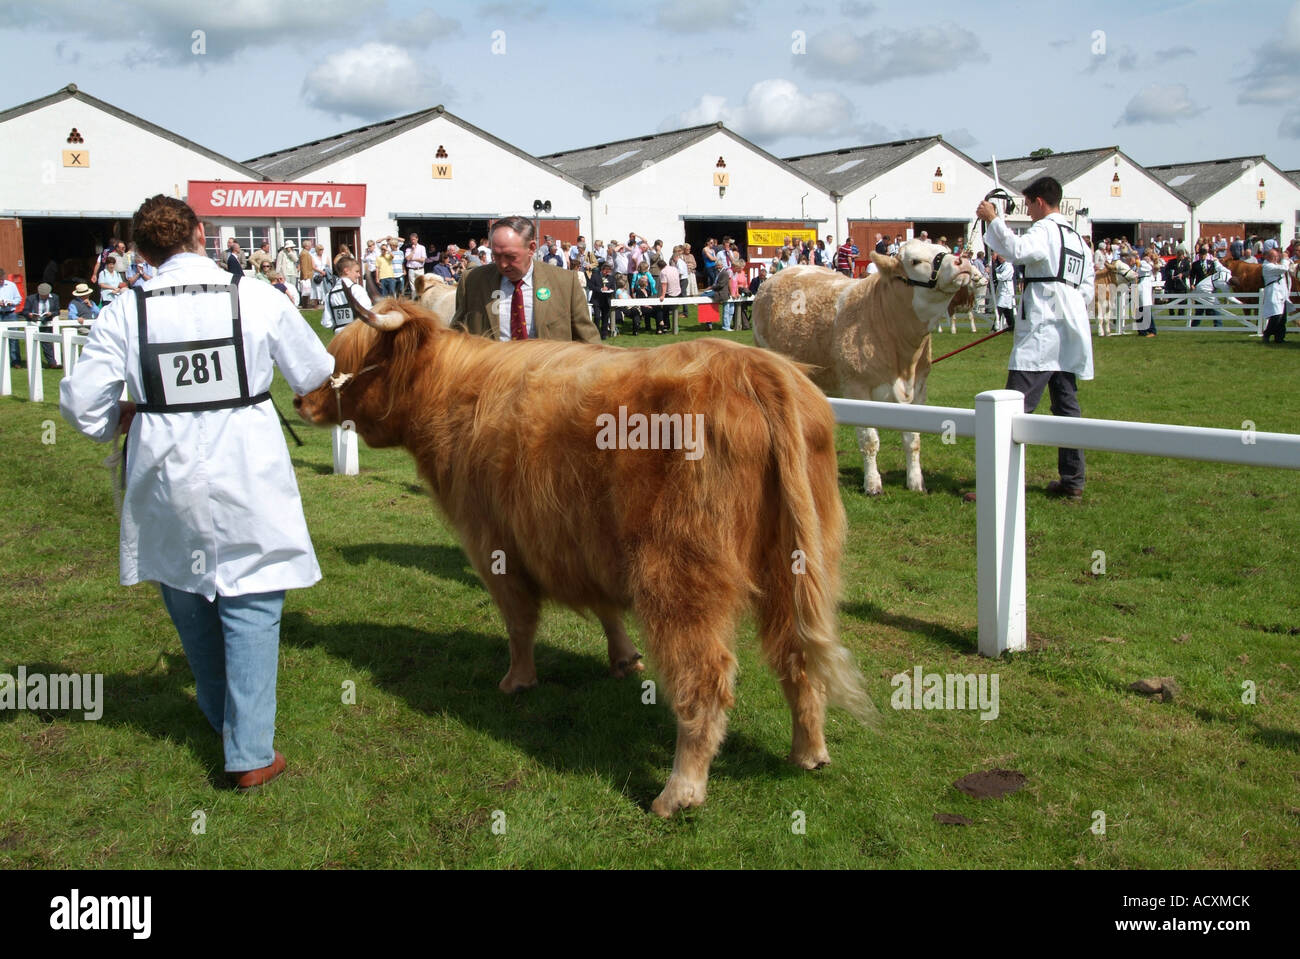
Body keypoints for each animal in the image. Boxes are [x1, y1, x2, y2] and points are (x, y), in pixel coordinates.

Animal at [294, 290, 873, 817]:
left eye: (344, 364)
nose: (300, 401)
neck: (450, 396)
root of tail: (753, 367)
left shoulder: (494, 544)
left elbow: (519, 621)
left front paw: (516, 681)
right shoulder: (586, 543)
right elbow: (604, 608)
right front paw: (622, 659)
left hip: (679, 571)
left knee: (705, 676)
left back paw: (679, 792)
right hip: (796, 563)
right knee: (796, 655)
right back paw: (809, 751)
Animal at [751, 239, 974, 495]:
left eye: (944, 250)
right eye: (915, 261)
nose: (962, 261)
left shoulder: (919, 389)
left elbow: (913, 440)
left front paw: (916, 482)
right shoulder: (858, 389)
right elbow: (869, 441)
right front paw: (873, 484)